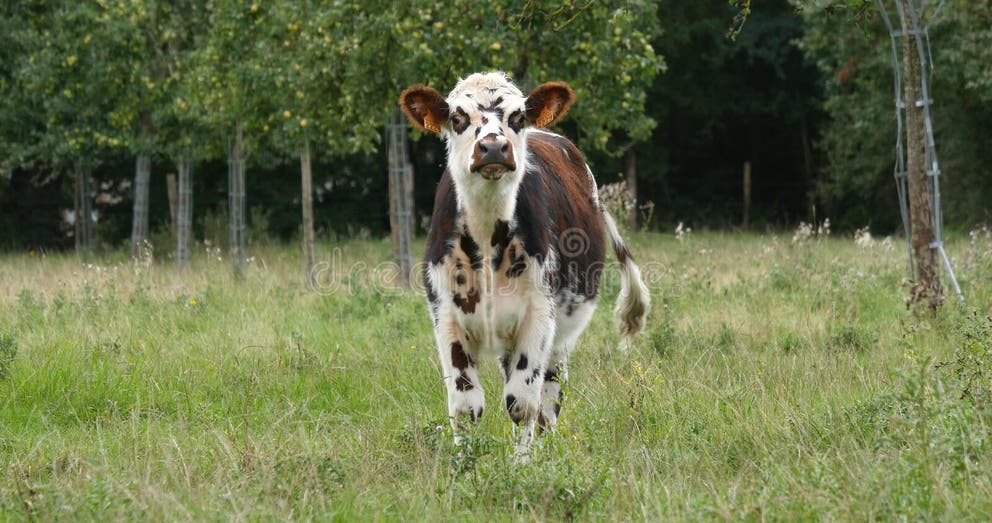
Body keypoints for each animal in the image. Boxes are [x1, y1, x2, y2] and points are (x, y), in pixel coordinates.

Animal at [399, 72, 650, 457]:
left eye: (517, 117)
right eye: (457, 117)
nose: (492, 147)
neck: (487, 237)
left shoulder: (538, 317)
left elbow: (522, 404)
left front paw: (523, 465)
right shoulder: (446, 318)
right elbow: (465, 407)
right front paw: (464, 465)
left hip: (560, 336)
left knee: (549, 396)